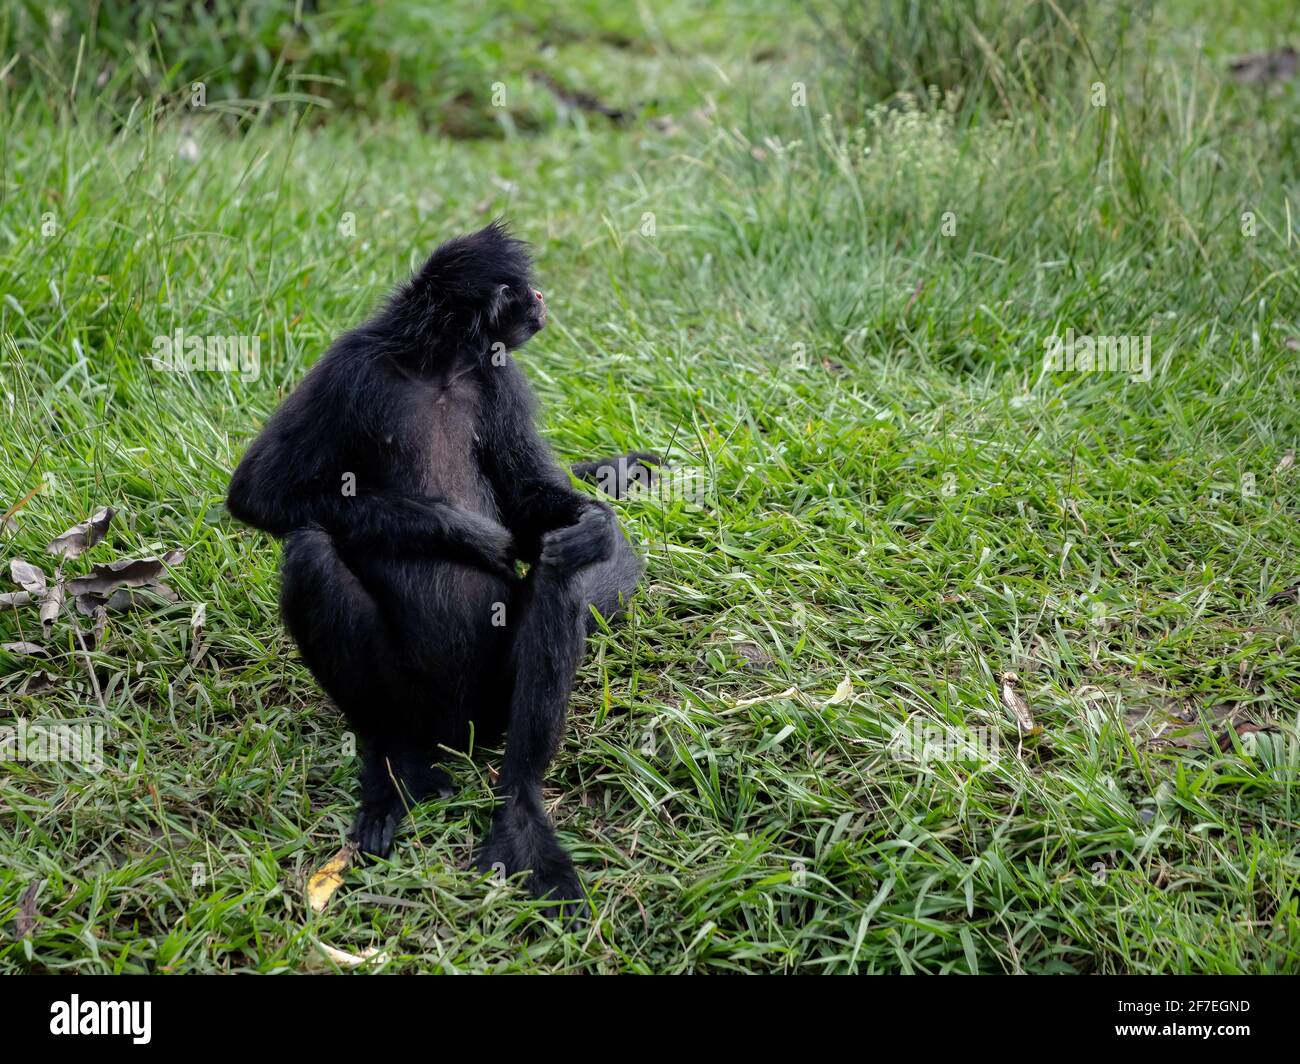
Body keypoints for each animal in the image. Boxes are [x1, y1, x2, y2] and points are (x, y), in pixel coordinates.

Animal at [226, 222, 646, 918]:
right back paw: (395, 770)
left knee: (559, 569)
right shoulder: (350, 363)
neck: (439, 370)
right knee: (310, 551)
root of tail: (453, 729)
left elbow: (535, 511)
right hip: (410, 699)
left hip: (491, 706)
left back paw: (519, 807)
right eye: (519, 288)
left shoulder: (502, 379)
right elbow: (259, 494)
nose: (540, 298)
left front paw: (596, 526)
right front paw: (465, 533)